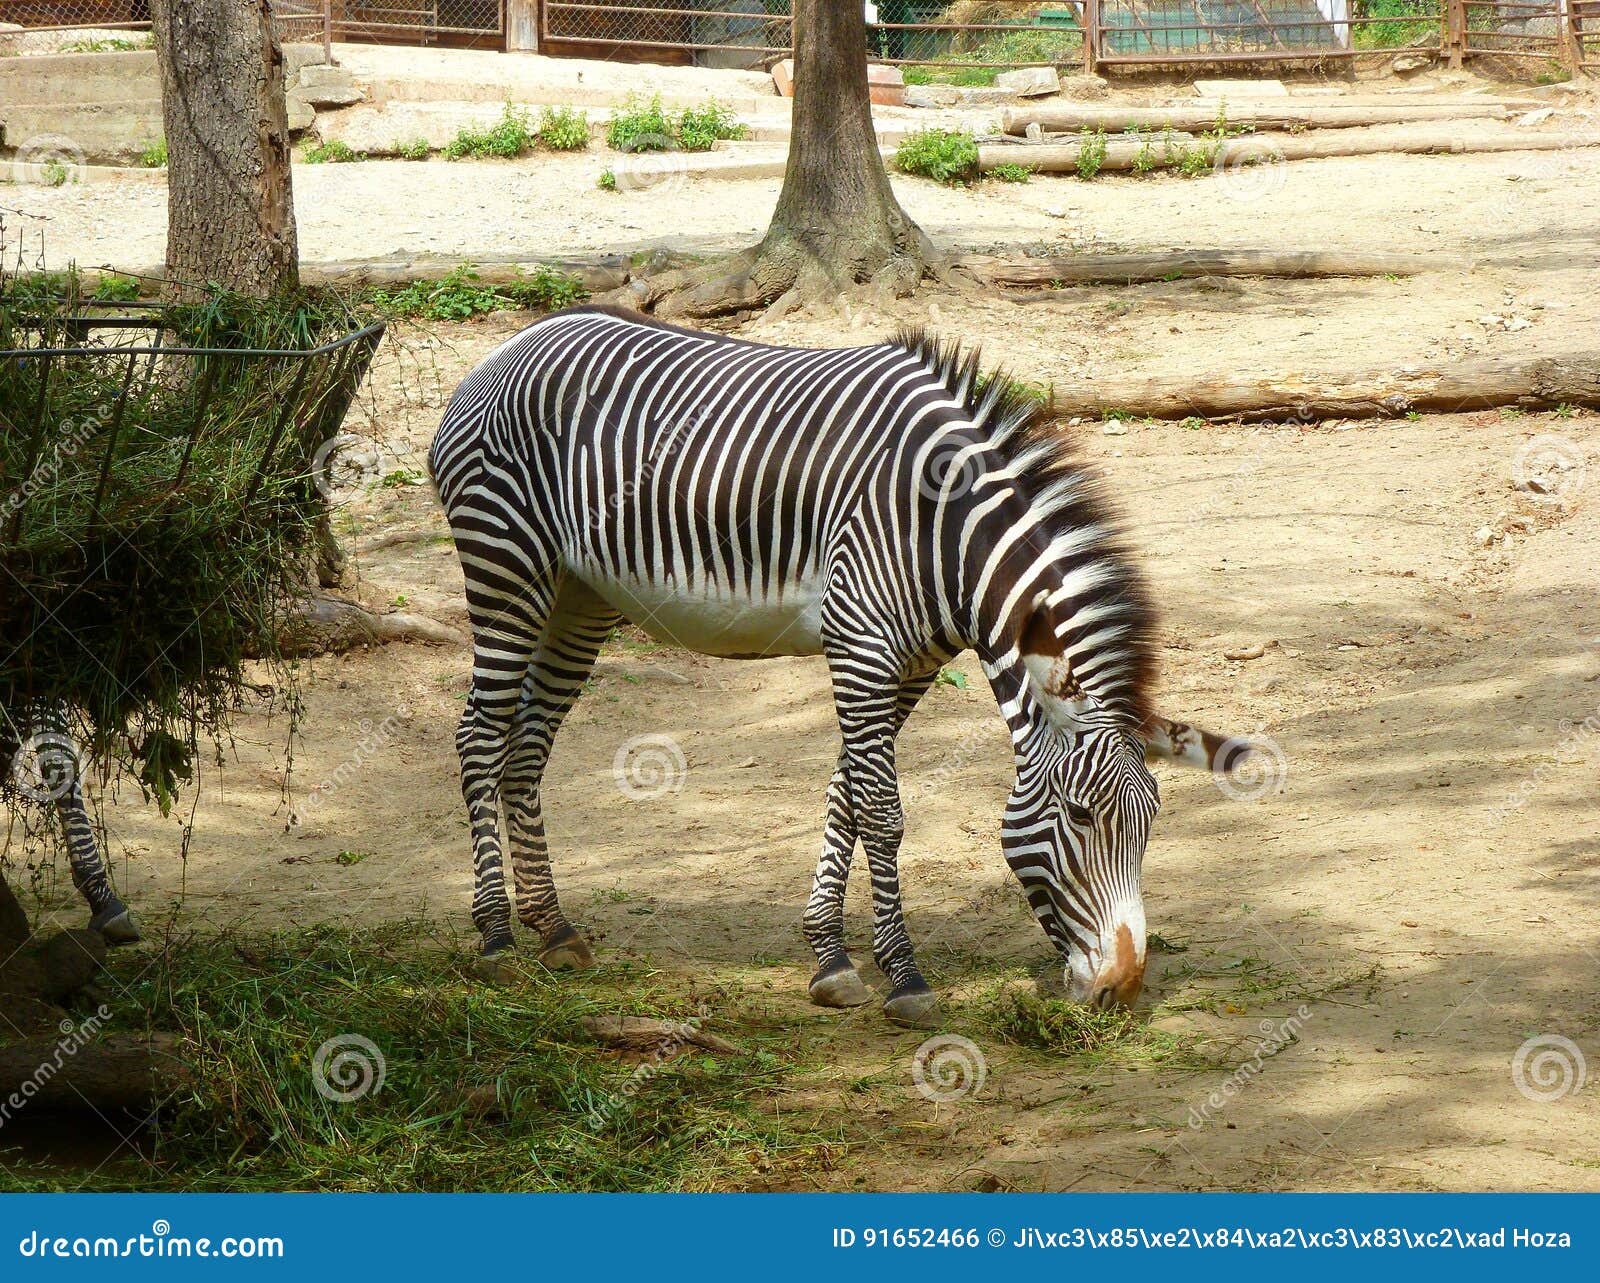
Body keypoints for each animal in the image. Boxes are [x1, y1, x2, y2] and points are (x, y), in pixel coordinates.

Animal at [430, 305, 1239, 1026]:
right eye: (1079, 815)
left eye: (1152, 823)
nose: (1122, 990)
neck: (940, 531)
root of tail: (511, 345)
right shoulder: (860, 645)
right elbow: (880, 810)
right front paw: (904, 977)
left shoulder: (910, 662)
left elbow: (847, 793)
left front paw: (831, 957)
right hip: (506, 565)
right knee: (479, 737)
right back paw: (496, 935)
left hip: (579, 596)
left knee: (527, 747)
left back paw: (553, 927)